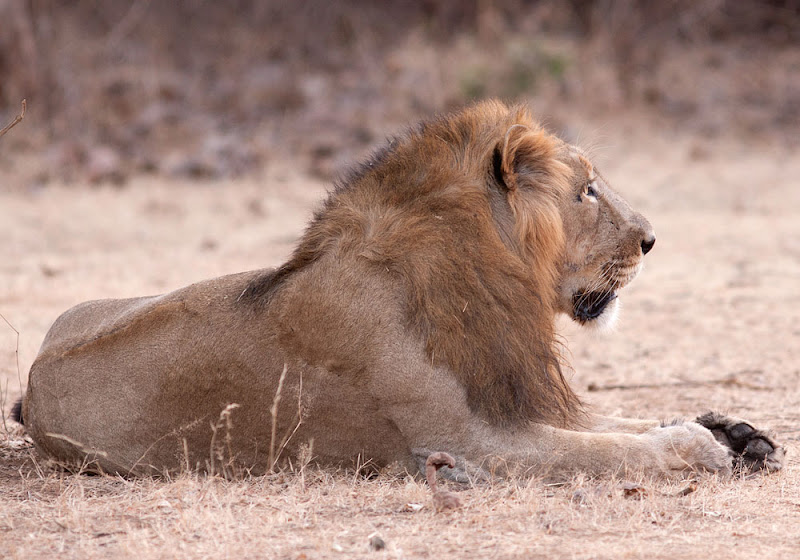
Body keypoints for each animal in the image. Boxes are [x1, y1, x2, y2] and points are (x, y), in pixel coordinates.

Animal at [13, 100, 784, 479]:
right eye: (588, 190)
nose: (651, 239)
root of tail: (34, 377)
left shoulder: (509, 399)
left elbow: (619, 420)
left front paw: (733, 431)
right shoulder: (473, 439)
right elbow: (612, 448)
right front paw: (700, 448)